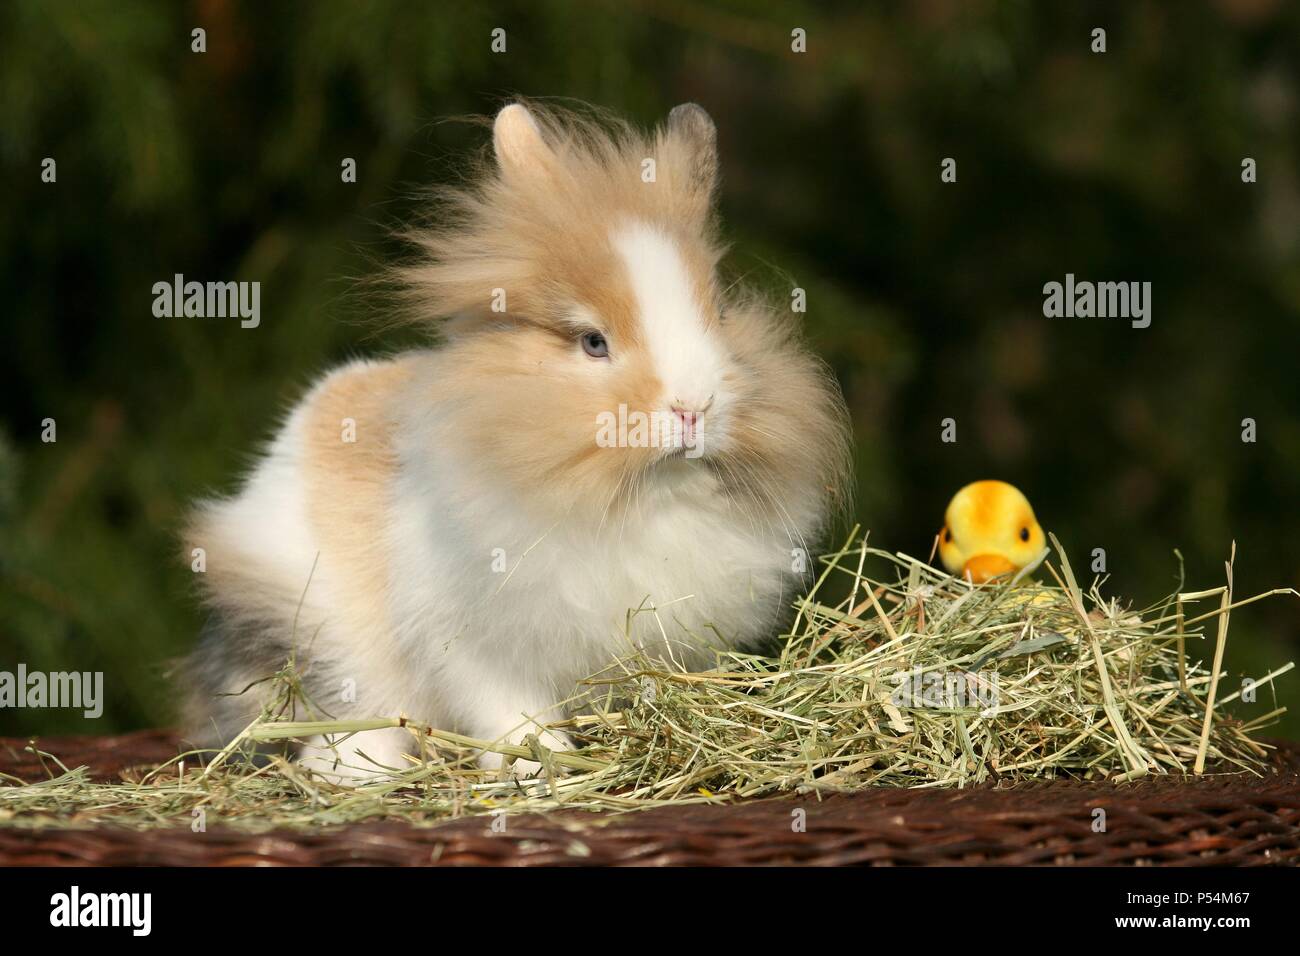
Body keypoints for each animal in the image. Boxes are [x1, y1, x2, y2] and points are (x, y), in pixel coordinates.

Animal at [182, 101, 852, 779]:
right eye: (592, 342)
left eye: (719, 314)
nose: (694, 408)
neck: (647, 497)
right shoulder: (472, 645)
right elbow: (509, 711)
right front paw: (540, 764)